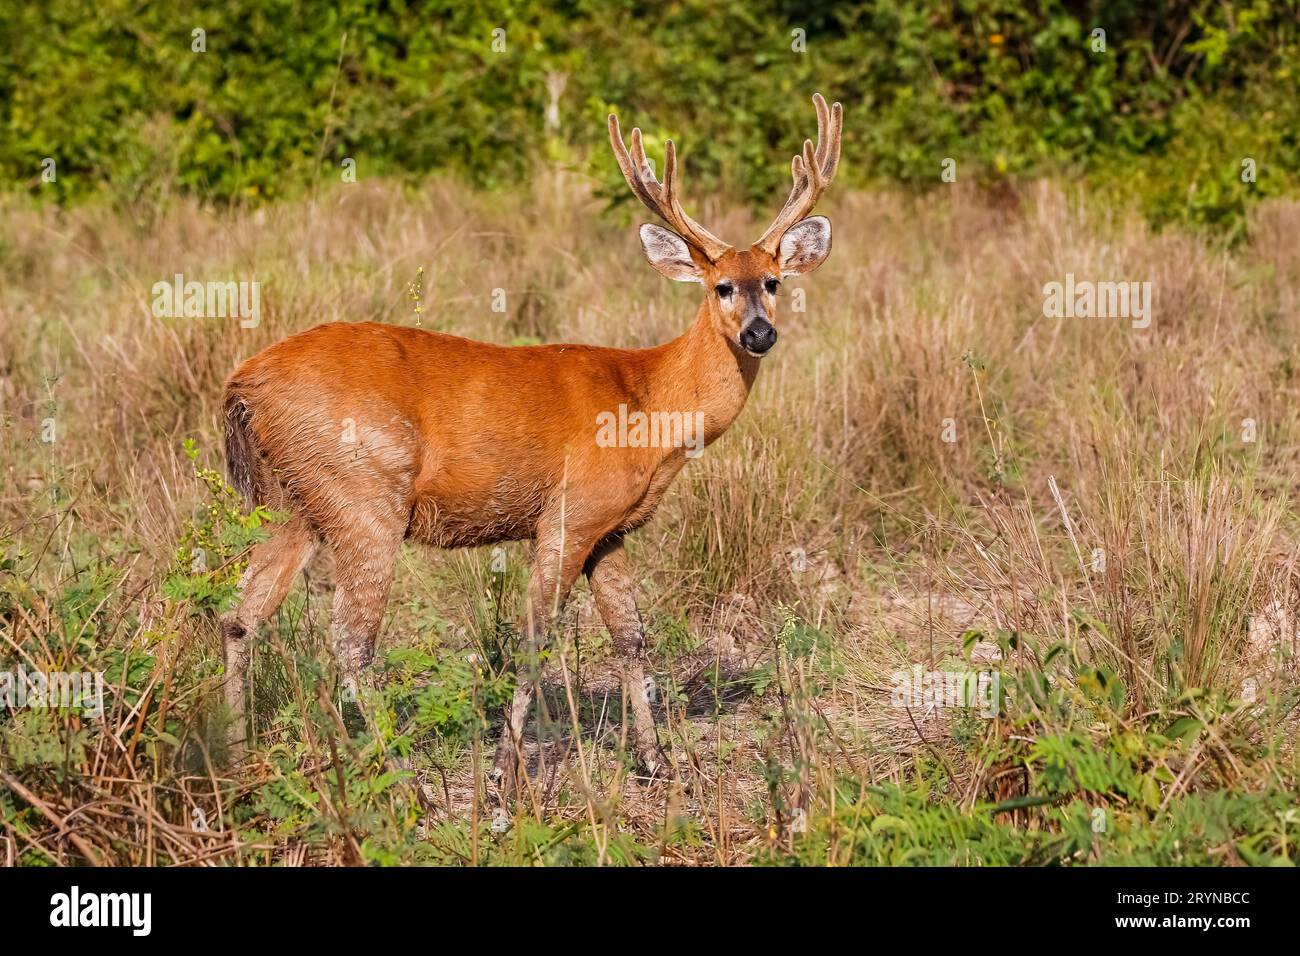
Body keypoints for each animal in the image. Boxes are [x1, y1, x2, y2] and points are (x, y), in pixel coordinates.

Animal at [219, 93, 842, 789]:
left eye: (775, 281)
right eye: (722, 286)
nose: (761, 334)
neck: (647, 402)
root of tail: (244, 383)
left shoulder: (613, 529)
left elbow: (631, 638)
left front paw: (657, 761)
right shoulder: (569, 513)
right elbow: (536, 634)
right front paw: (505, 769)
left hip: (294, 503)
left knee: (241, 618)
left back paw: (236, 756)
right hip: (362, 495)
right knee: (350, 643)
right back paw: (403, 777)